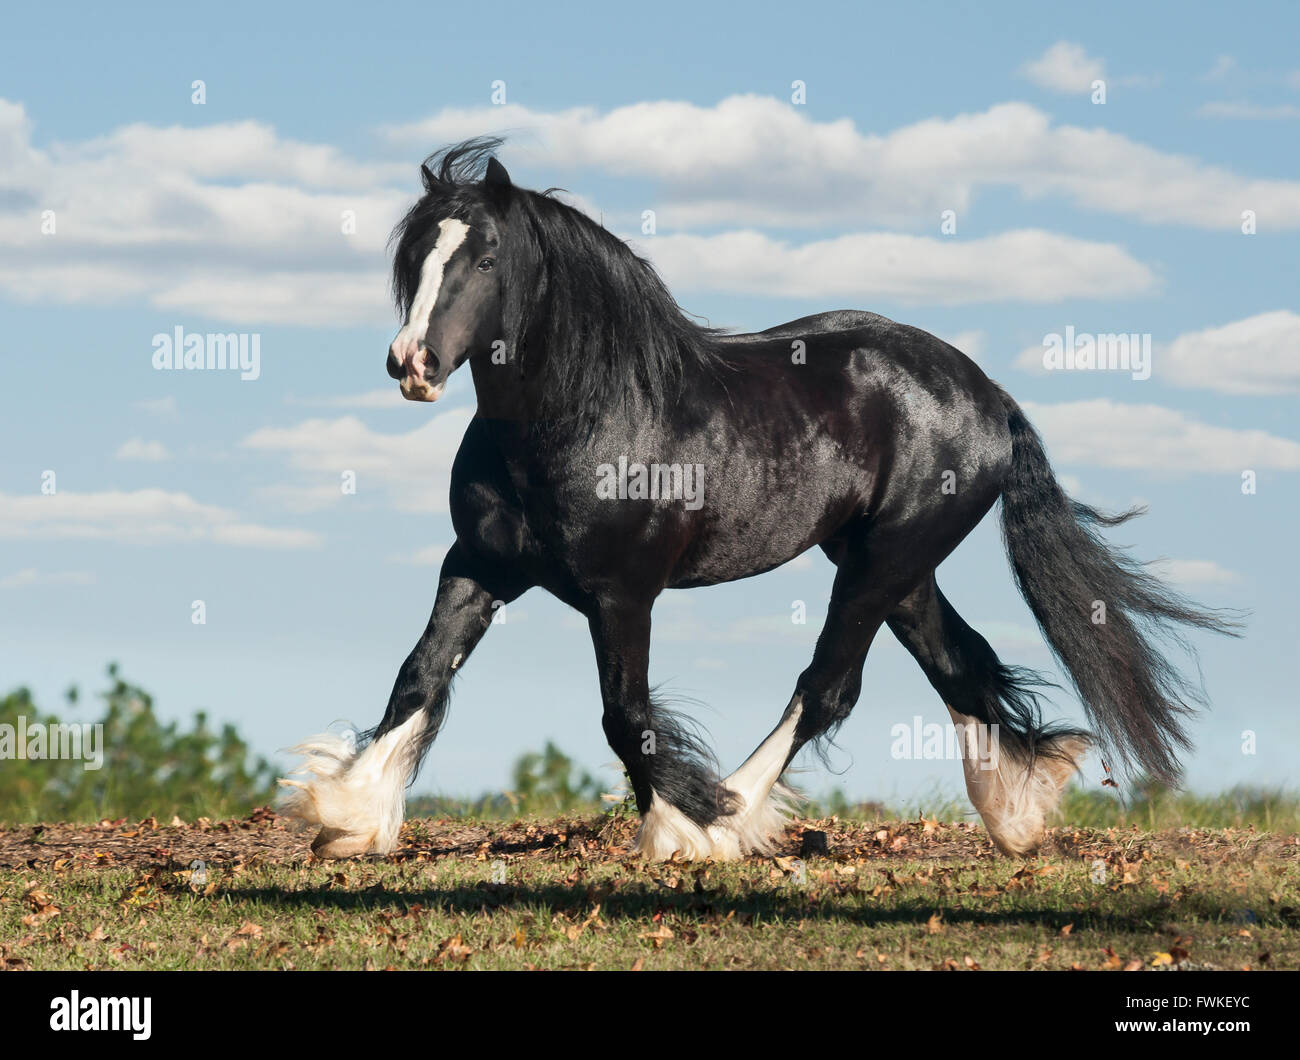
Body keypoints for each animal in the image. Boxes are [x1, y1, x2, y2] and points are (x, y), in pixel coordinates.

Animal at [280, 138, 1238, 861]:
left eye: (483, 257)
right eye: (414, 258)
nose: (411, 364)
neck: (586, 416)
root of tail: (986, 394)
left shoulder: (622, 595)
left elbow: (627, 717)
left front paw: (685, 826)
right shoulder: (478, 565)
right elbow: (420, 674)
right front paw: (347, 815)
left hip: (882, 562)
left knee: (828, 687)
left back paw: (737, 810)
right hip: (893, 564)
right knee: (956, 663)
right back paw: (1020, 814)